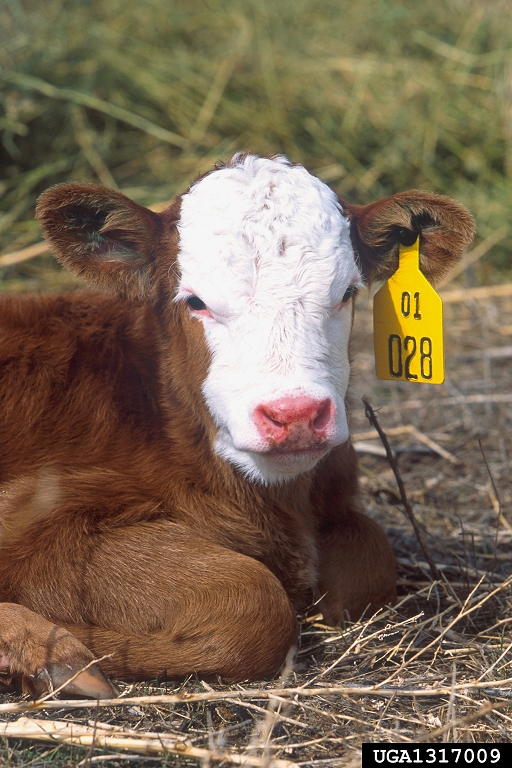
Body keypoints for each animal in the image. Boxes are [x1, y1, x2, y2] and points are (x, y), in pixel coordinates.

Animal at [0, 154, 474, 699]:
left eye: (346, 293)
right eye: (195, 301)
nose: (295, 414)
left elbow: (370, 564)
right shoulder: (35, 520)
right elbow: (254, 602)